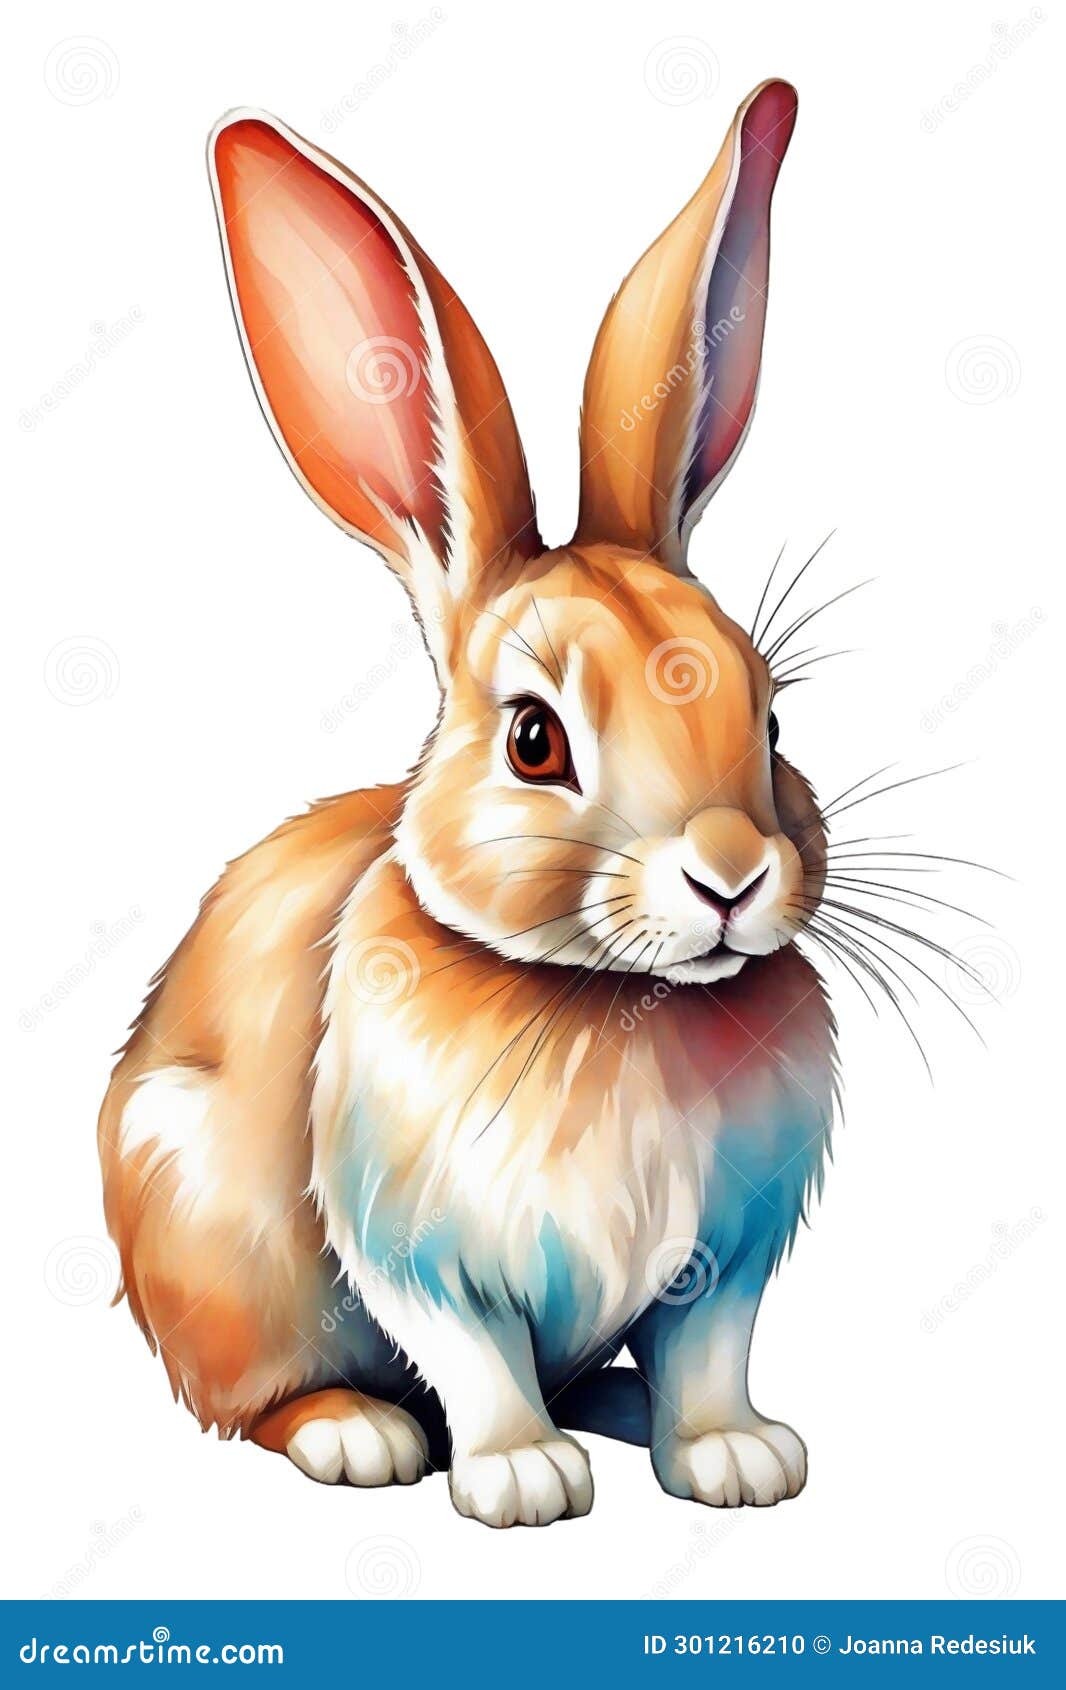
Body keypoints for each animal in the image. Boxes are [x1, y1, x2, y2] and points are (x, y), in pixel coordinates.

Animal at [98, 77, 836, 1528]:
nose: (729, 873)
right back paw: (358, 1433)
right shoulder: (412, 1244)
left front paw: (734, 1459)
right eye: (535, 739)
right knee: (250, 1400)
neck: (615, 1001)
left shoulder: (722, 1261)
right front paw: (519, 1480)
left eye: (769, 715)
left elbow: (709, 1355)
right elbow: (475, 1352)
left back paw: (619, 1407)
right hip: (208, 1245)